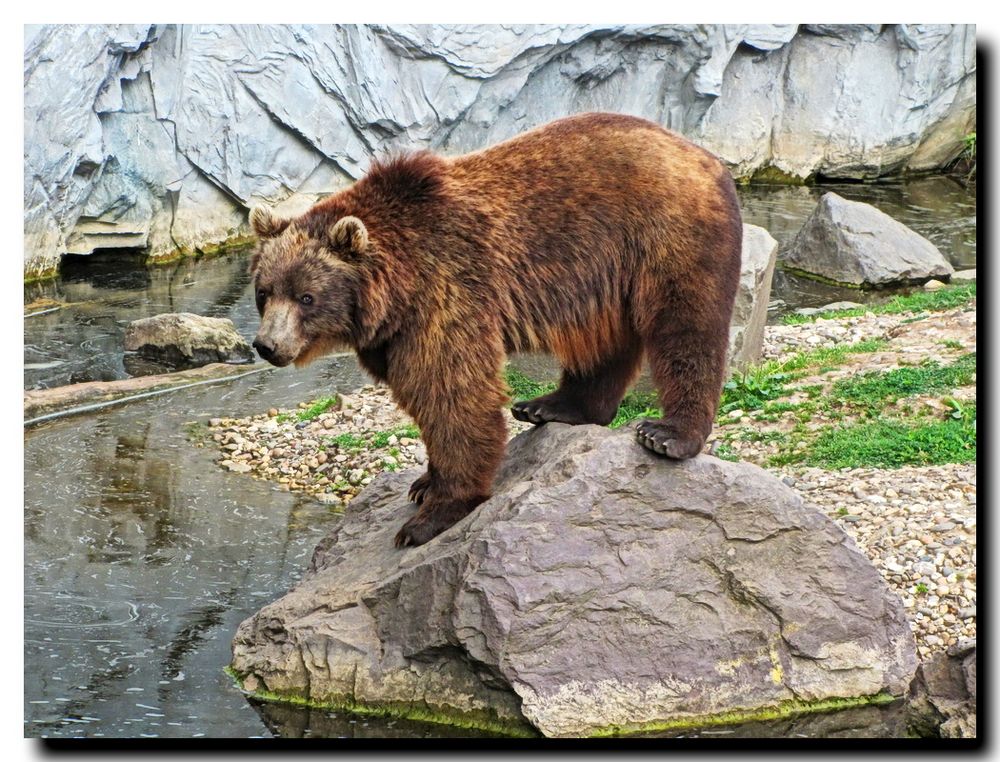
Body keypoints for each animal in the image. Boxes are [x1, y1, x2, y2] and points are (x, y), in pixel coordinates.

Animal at [248, 112, 742, 548]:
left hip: (667, 233)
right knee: (605, 347)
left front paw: (431, 516)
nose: (267, 345)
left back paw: (668, 433)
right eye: (264, 291)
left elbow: (452, 393)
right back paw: (551, 405)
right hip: (606, 280)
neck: (395, 290)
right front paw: (424, 483)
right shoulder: (394, 335)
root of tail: (706, 156)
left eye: (306, 297)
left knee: (685, 327)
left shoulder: (446, 289)